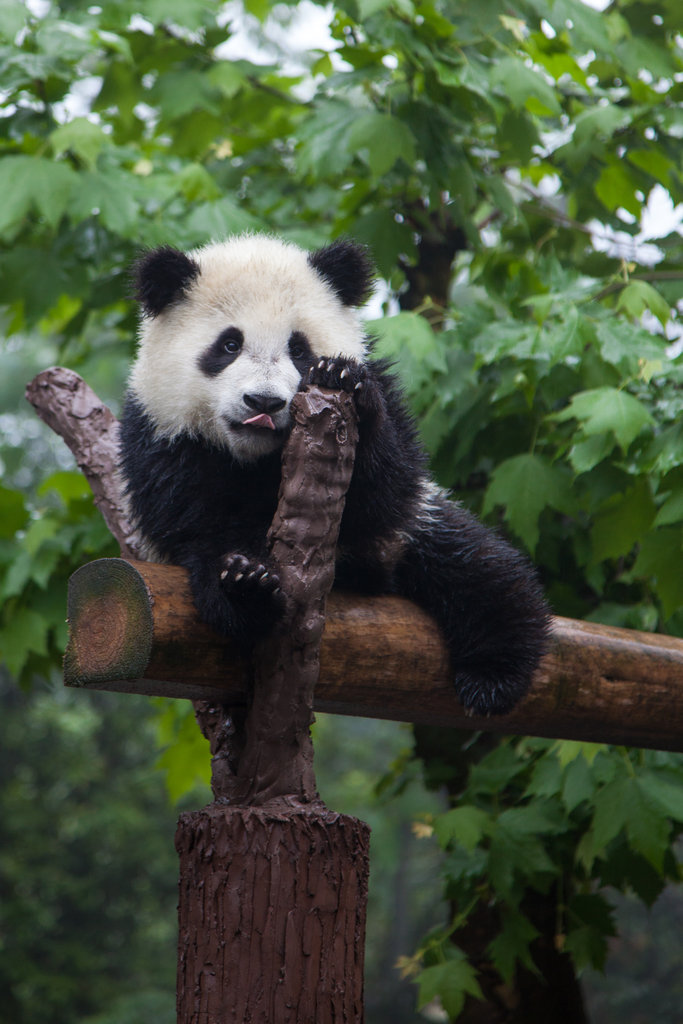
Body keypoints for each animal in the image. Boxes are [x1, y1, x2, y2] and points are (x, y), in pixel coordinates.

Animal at [119, 234, 550, 716]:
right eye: (229, 345)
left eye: (298, 348)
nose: (263, 402)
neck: (257, 458)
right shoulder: (160, 439)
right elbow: (195, 523)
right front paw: (245, 580)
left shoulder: (391, 423)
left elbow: (386, 490)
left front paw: (343, 378)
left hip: (412, 534)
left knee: (482, 575)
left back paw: (492, 678)